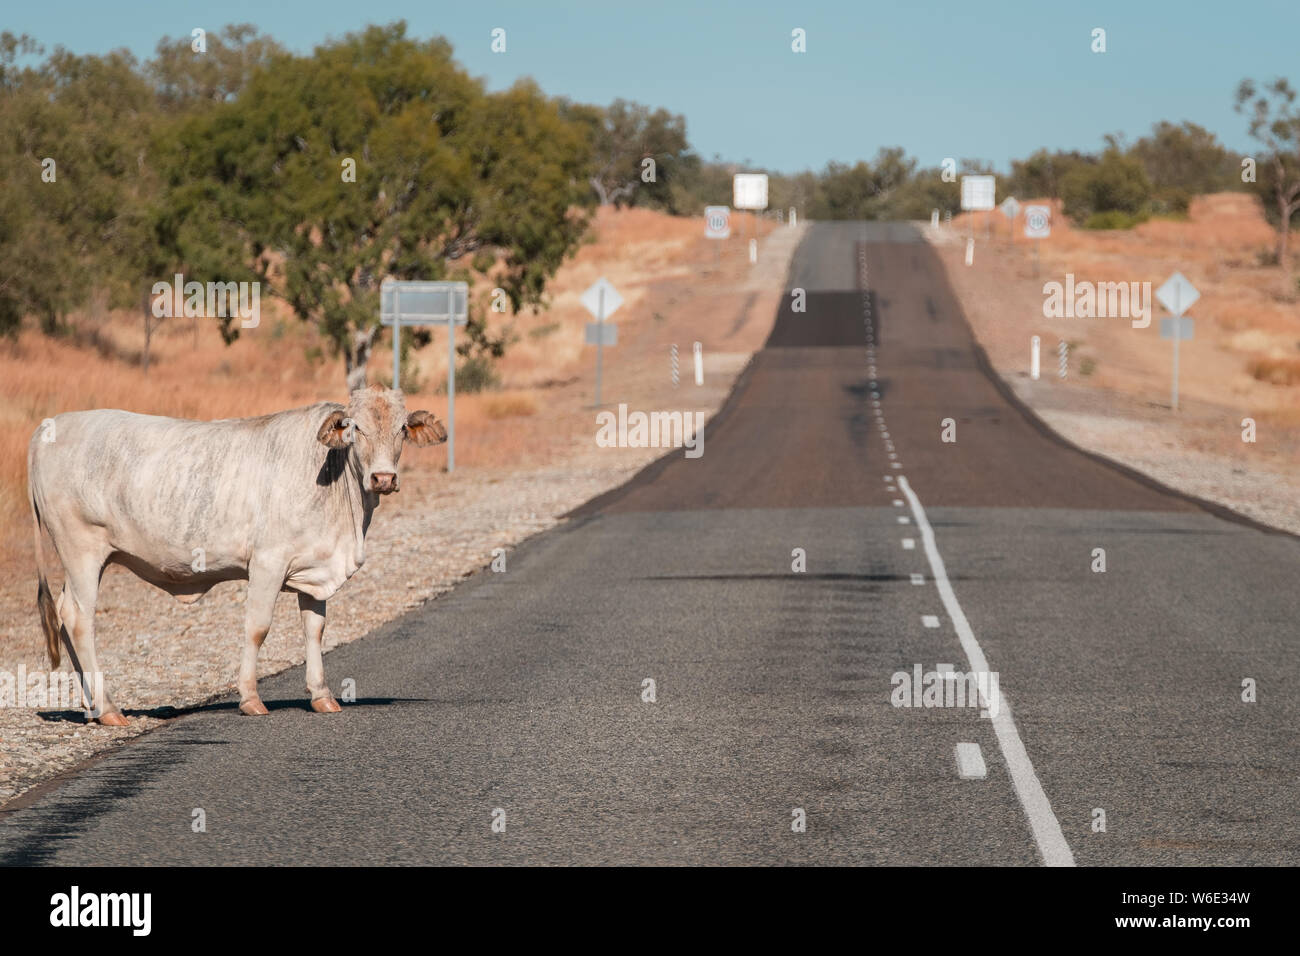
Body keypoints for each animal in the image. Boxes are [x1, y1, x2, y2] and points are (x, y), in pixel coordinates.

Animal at [28, 385, 447, 725]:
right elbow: (257, 628)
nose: (383, 478)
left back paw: (91, 707)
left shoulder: (314, 566)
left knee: (64, 615)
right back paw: (110, 708)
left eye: (402, 429)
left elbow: (314, 629)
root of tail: (51, 426)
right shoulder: (268, 563)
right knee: (78, 619)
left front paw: (321, 696)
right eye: (356, 428)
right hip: (81, 548)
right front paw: (250, 698)